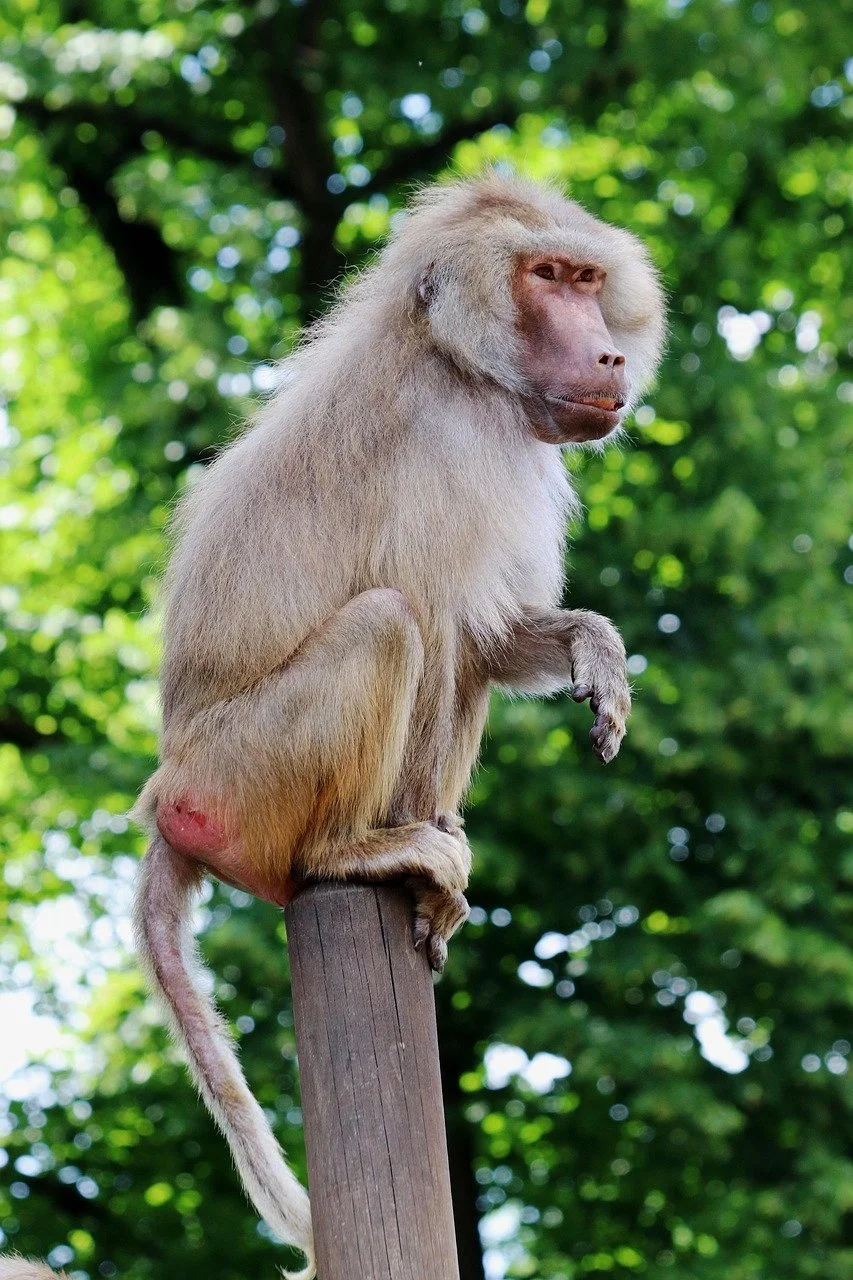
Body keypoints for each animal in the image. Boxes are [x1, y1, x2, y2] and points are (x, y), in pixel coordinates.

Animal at [128, 171, 666, 1278]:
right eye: (545, 276)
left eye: (588, 280)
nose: (608, 355)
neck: (454, 362)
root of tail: (169, 793)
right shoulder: (448, 442)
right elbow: (436, 613)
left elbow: (495, 637)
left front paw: (596, 651)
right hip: (239, 774)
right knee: (396, 623)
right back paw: (365, 849)